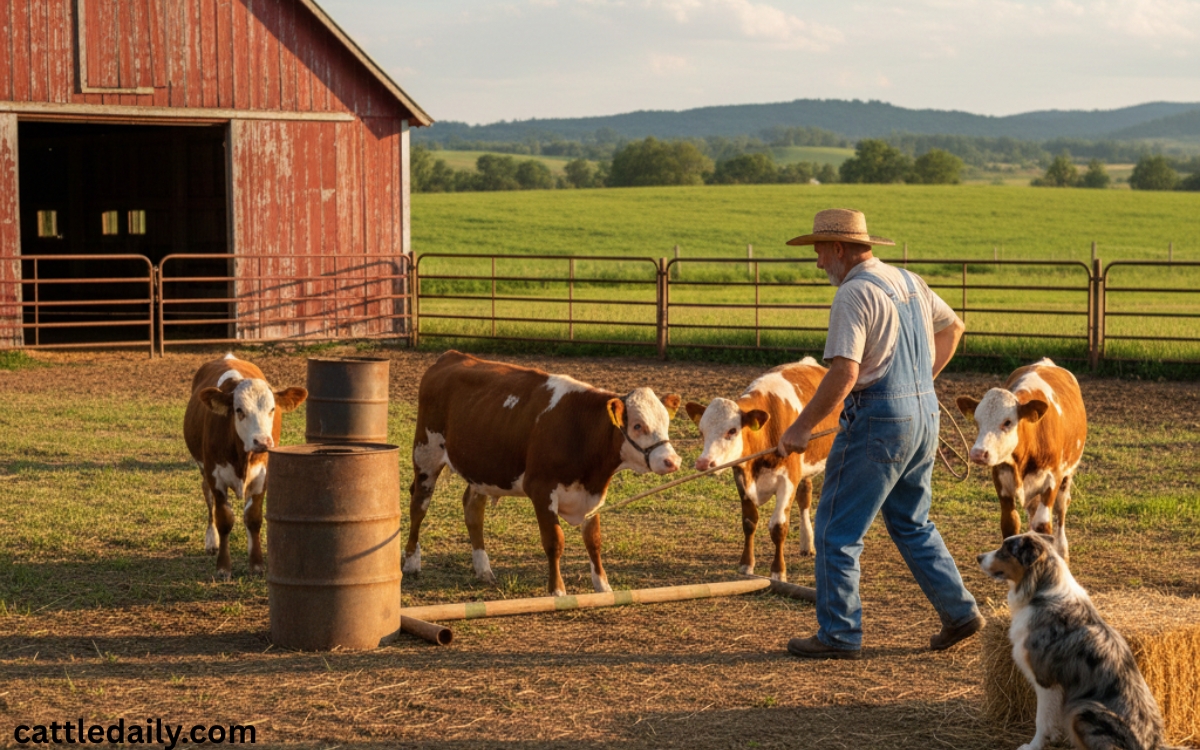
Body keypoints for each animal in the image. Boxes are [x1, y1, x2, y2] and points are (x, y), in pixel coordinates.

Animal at [183, 354, 307, 579]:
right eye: (239, 410)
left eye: (272, 409)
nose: (263, 441)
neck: (242, 455)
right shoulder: (216, 477)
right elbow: (224, 519)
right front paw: (223, 568)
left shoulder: (262, 476)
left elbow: (253, 518)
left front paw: (256, 565)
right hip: (204, 469)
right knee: (207, 497)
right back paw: (211, 540)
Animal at [403, 350, 682, 596]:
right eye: (637, 425)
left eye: (666, 423)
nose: (672, 461)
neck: (581, 427)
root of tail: (451, 356)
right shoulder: (541, 489)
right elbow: (554, 542)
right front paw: (557, 589)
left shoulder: (592, 496)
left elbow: (594, 541)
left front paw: (603, 587)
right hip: (425, 455)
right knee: (419, 506)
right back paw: (411, 562)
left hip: (481, 469)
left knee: (473, 510)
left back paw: (483, 569)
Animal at [684, 358, 840, 582]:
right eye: (701, 431)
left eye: (732, 430)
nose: (704, 463)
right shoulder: (741, 477)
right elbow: (749, 522)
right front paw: (746, 565)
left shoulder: (788, 479)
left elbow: (778, 527)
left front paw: (778, 571)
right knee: (805, 497)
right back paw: (806, 542)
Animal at [956, 357, 1086, 560]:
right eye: (977, 422)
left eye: (1007, 422)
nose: (978, 453)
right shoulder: (1002, 482)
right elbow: (1010, 524)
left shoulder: (1051, 480)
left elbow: (1043, 525)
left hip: (1068, 475)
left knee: (1061, 510)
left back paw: (1062, 550)